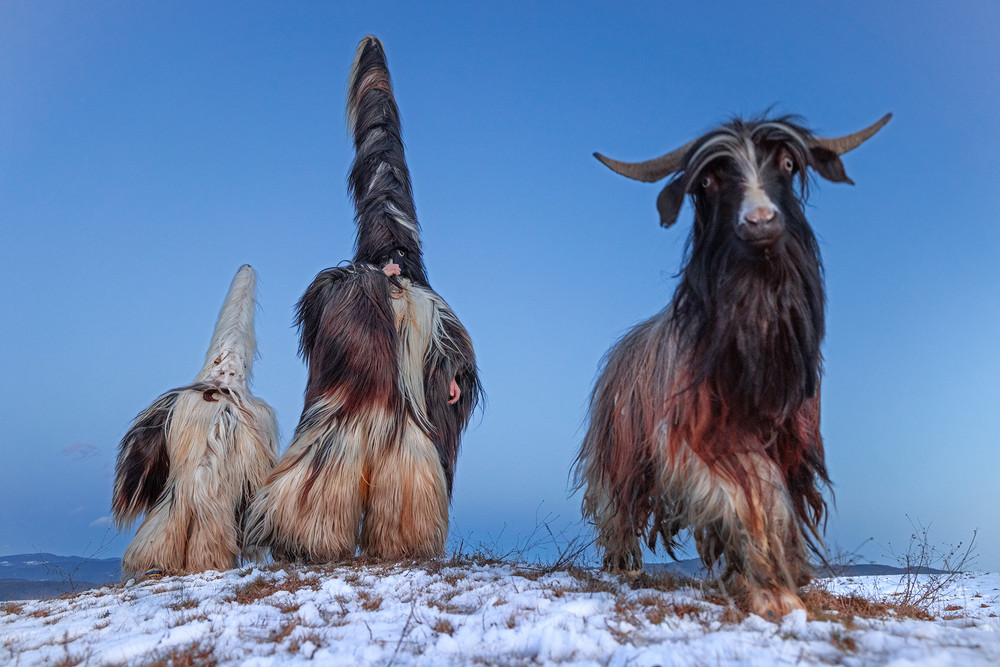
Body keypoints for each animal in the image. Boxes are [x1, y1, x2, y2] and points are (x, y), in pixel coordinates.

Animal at [575, 113, 890, 619]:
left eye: (786, 163)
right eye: (709, 180)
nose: (760, 223)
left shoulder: (793, 444)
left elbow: (780, 496)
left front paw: (786, 576)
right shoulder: (700, 438)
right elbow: (751, 491)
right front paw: (770, 590)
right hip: (620, 452)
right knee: (617, 507)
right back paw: (625, 567)